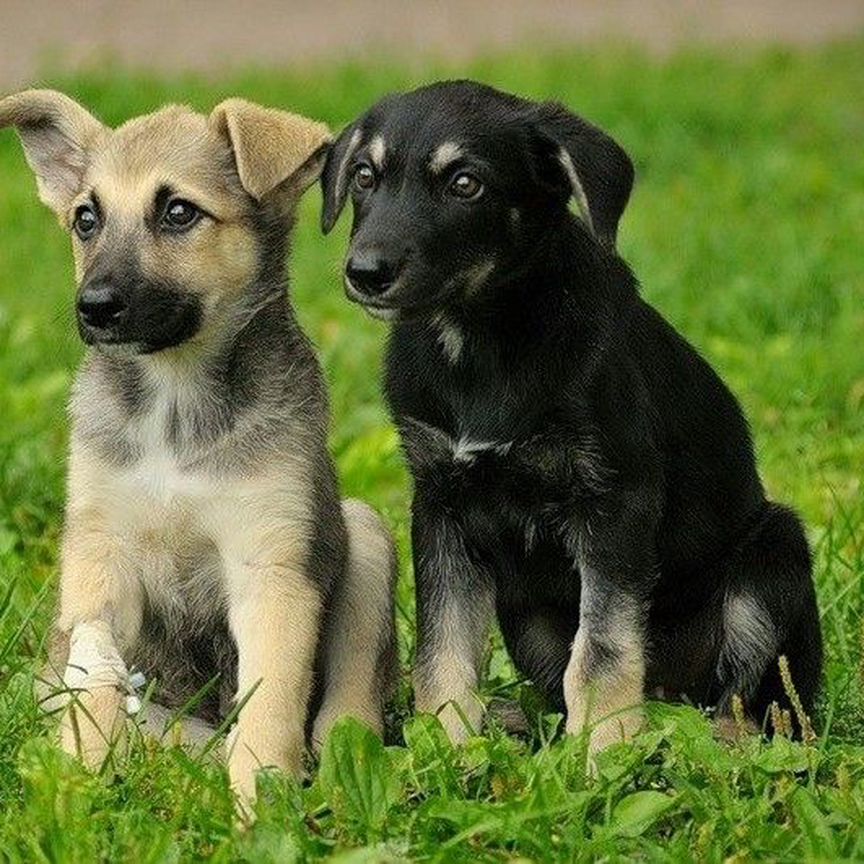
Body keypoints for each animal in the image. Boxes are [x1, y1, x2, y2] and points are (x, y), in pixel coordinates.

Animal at [0, 91, 398, 808]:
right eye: (85, 220)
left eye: (179, 212)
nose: (93, 307)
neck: (175, 403)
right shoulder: (100, 558)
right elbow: (93, 695)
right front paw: (76, 790)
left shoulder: (270, 571)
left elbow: (270, 708)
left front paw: (258, 810)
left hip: (365, 531)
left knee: (347, 706)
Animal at [318, 82, 824, 756]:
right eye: (365, 176)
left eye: (465, 184)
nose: (365, 273)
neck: (484, 340)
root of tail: (670, 691)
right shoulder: (440, 502)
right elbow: (443, 646)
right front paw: (448, 743)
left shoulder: (613, 500)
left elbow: (602, 649)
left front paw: (605, 750)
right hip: (528, 612)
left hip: (774, 557)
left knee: (758, 703)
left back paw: (717, 741)